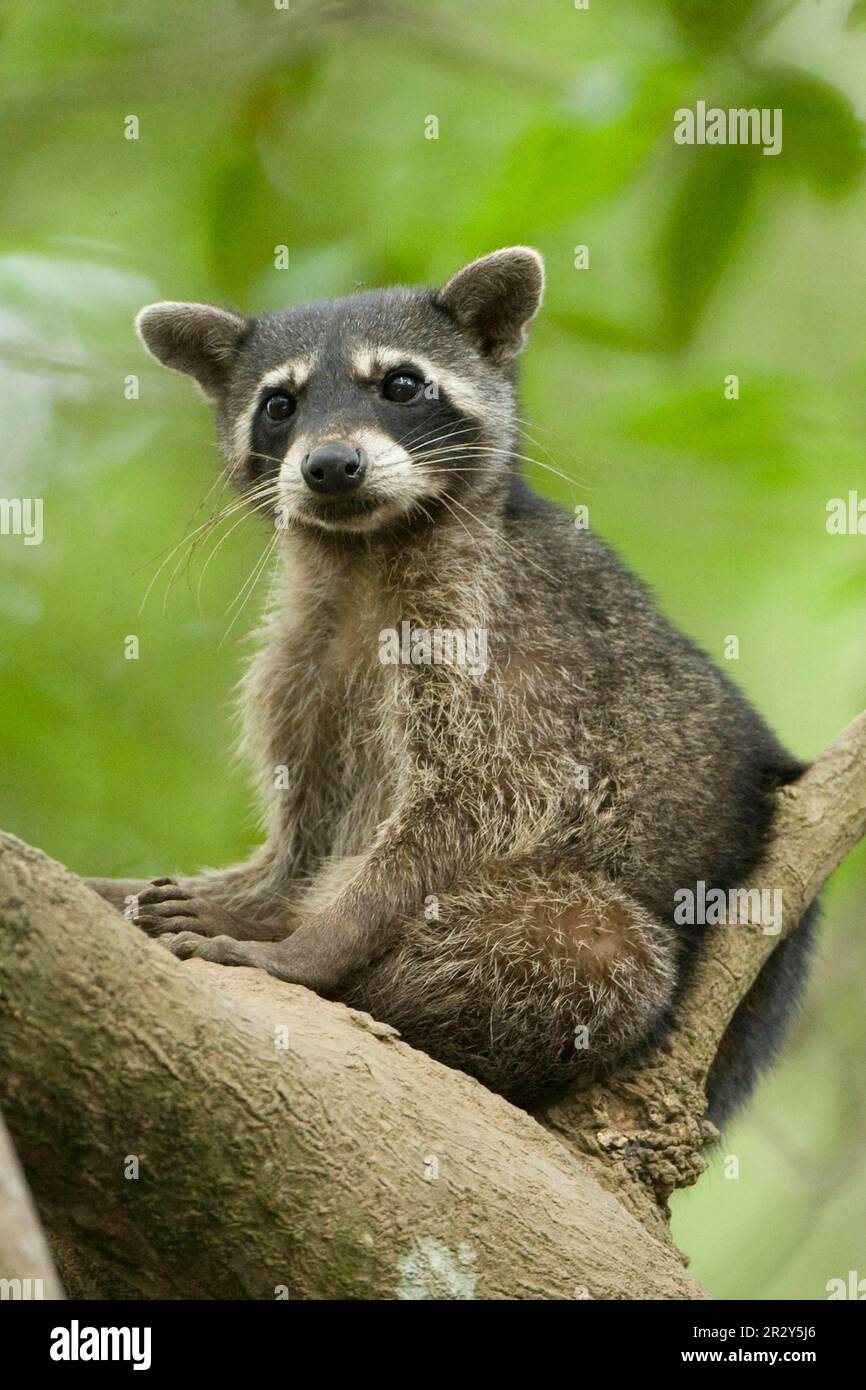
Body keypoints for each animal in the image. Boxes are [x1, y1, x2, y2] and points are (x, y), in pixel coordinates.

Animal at [88, 247, 817, 1121]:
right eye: (279, 405)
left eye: (401, 385)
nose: (330, 466)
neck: (364, 557)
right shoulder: (303, 660)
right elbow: (312, 826)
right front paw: (261, 902)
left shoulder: (509, 644)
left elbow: (473, 806)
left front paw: (309, 942)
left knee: (591, 942)